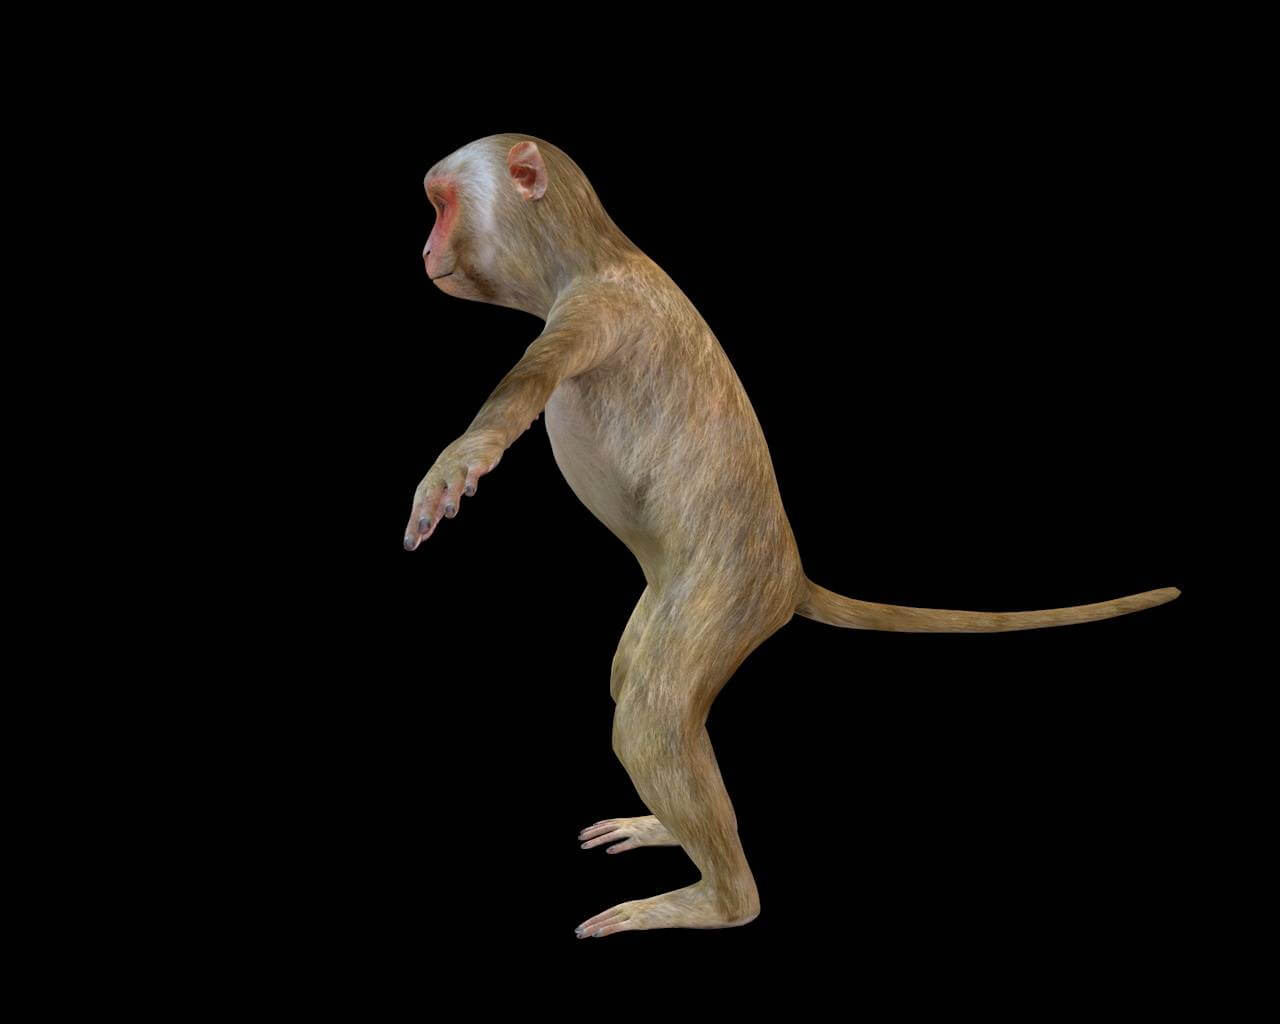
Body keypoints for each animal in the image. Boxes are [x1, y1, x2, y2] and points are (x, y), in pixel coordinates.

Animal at [401, 133, 1181, 939]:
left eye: (442, 206)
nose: (425, 248)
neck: (591, 255)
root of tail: (789, 575)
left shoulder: (598, 311)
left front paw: (456, 467)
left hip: (728, 597)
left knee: (652, 717)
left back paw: (717, 901)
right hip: (675, 596)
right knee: (633, 681)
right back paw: (668, 828)